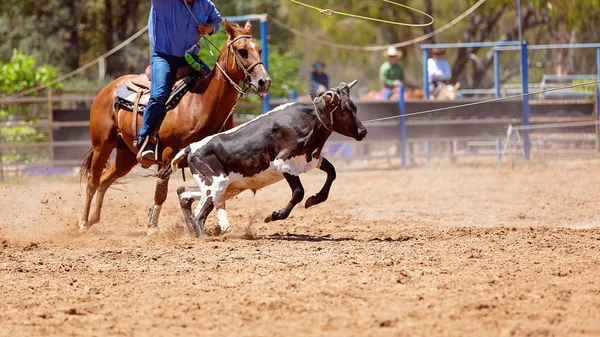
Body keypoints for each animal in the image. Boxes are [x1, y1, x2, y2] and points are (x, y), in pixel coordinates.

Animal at [78, 19, 270, 232]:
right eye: (242, 50)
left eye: (260, 49)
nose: (264, 81)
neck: (202, 103)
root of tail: (108, 89)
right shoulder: (168, 154)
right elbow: (161, 190)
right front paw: (152, 226)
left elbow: (218, 191)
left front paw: (222, 227)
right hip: (102, 145)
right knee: (93, 181)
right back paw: (84, 223)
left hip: (126, 155)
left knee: (105, 179)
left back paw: (94, 219)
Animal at [169, 80, 366, 236]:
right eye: (343, 111)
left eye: (355, 108)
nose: (363, 132)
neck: (307, 121)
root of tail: (191, 148)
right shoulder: (284, 164)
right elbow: (299, 192)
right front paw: (275, 215)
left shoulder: (312, 160)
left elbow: (331, 172)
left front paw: (314, 199)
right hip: (216, 183)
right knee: (199, 215)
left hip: (227, 187)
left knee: (183, 193)